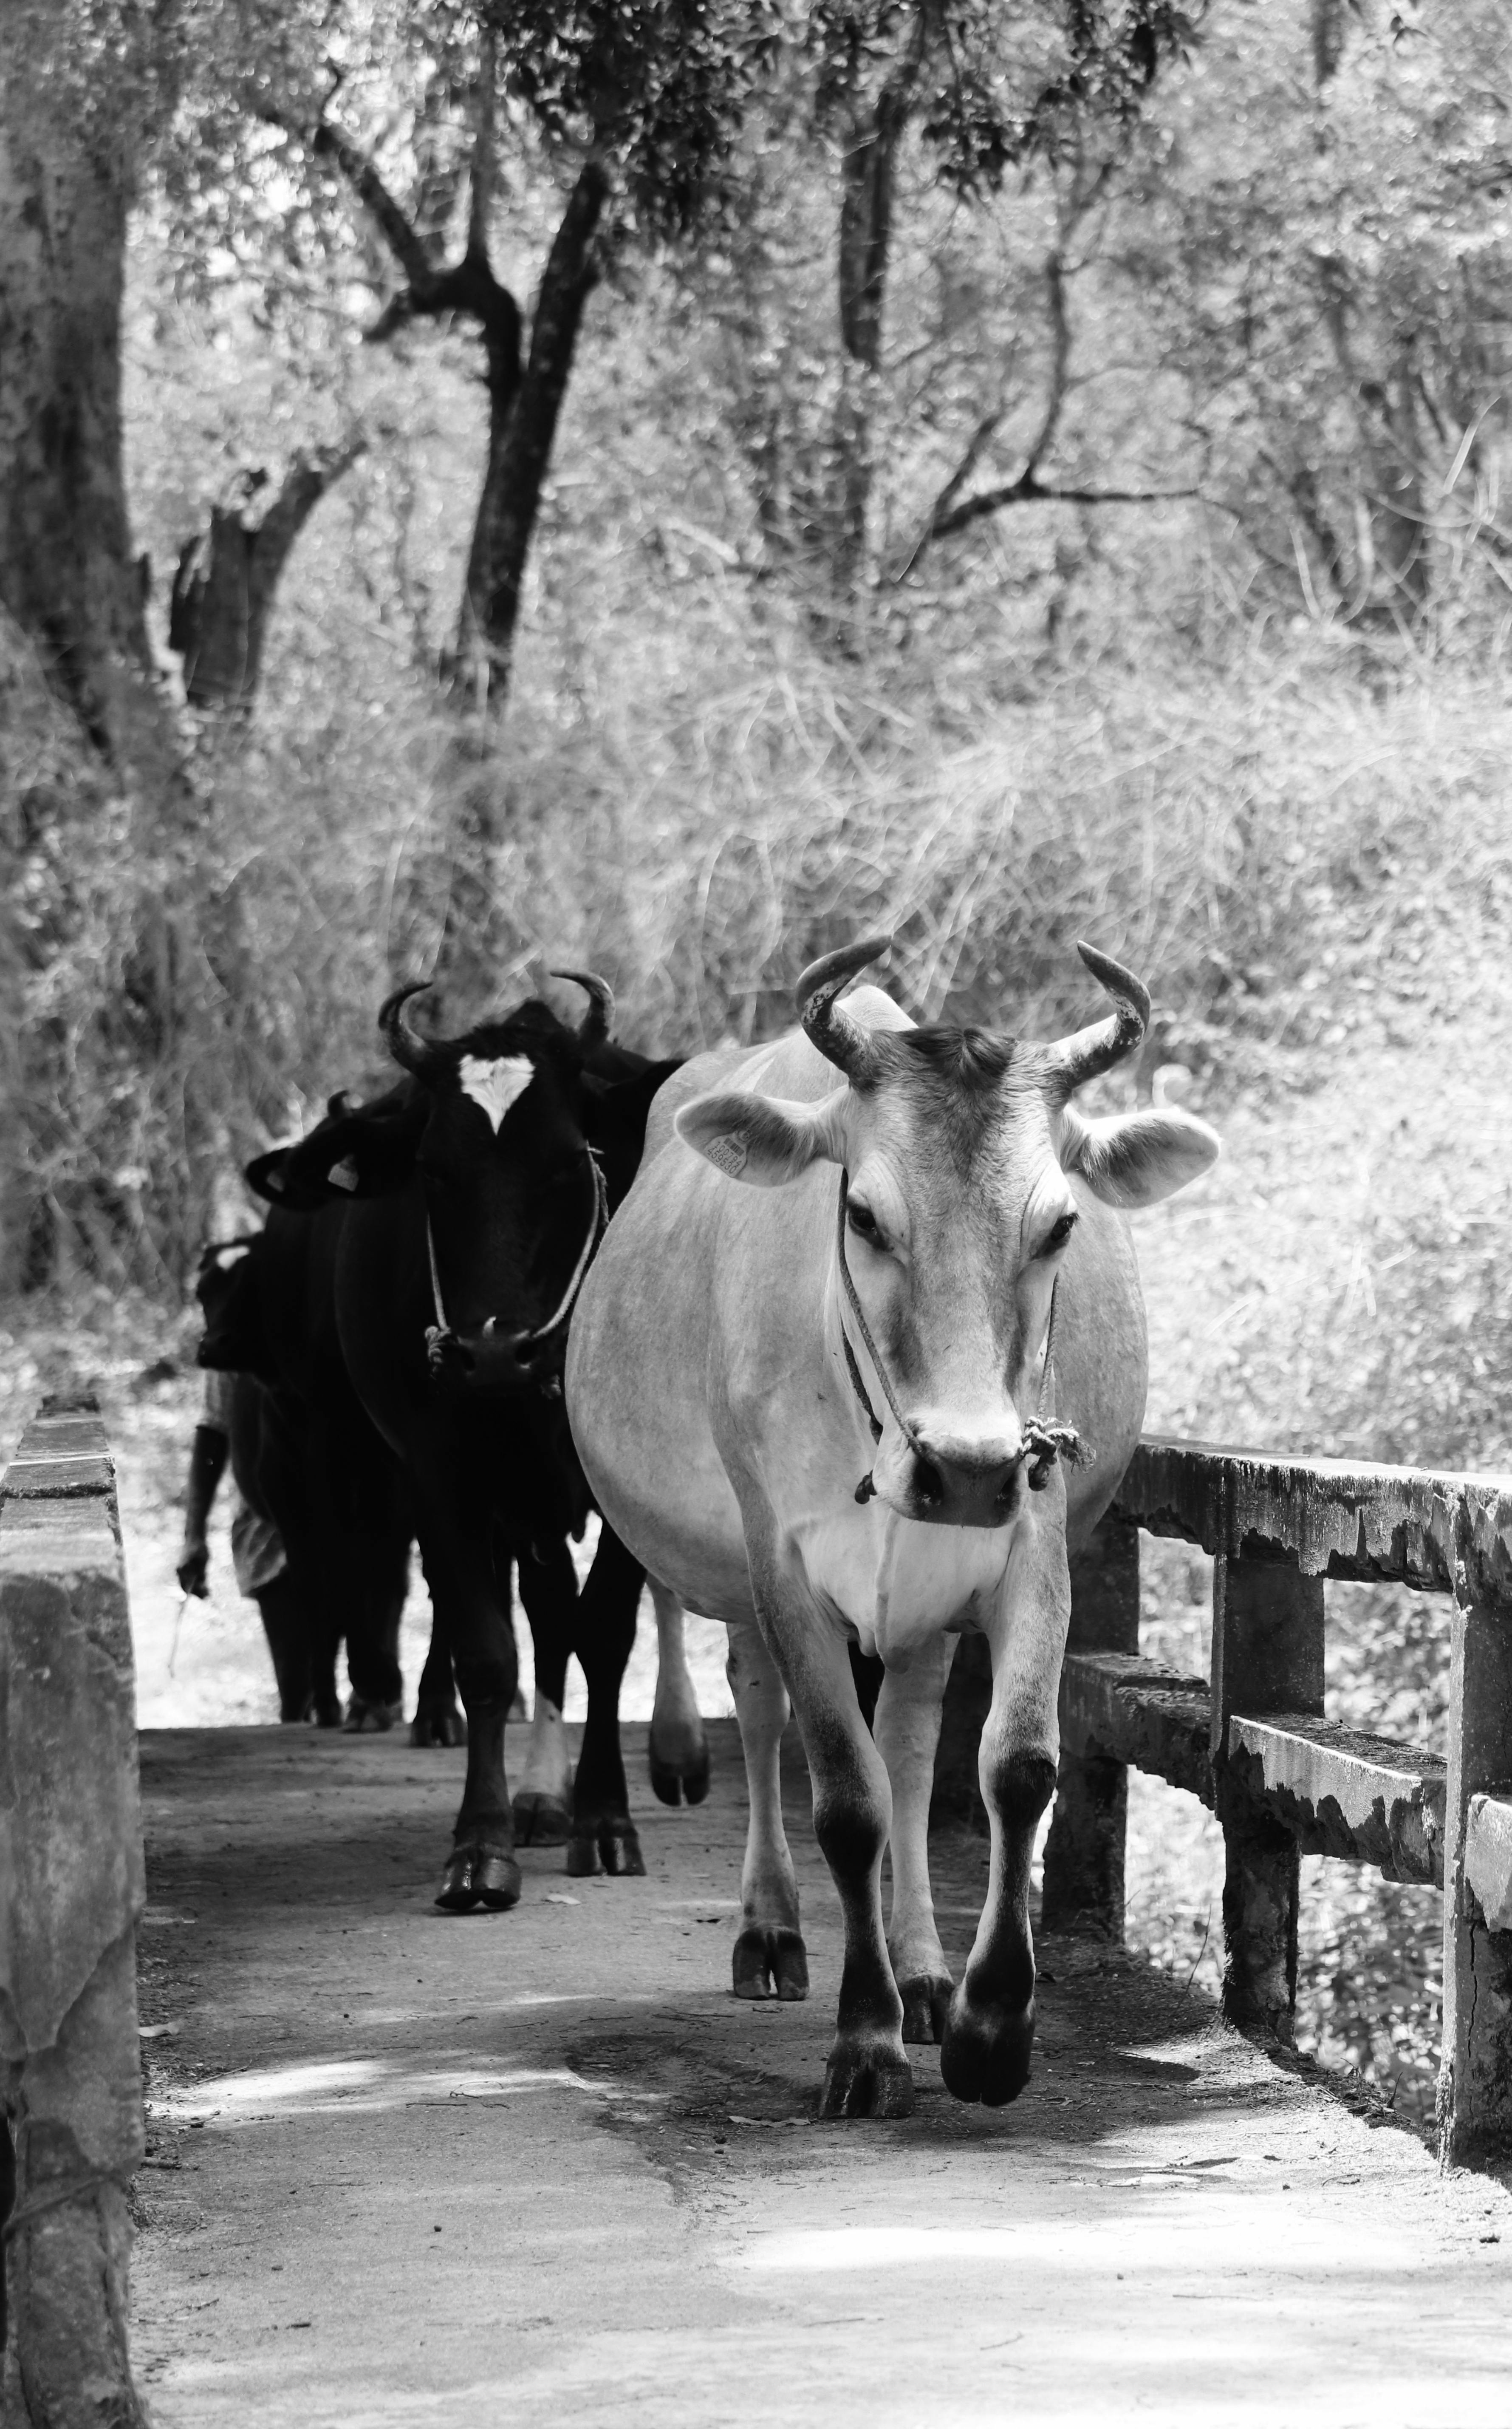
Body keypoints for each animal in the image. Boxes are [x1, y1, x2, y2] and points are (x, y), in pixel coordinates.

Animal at [247, 975, 709, 1907]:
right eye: (433, 1171)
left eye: (567, 1161)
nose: (494, 1351)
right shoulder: (444, 1475)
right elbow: (494, 1651)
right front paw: (484, 1842)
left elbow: (608, 1631)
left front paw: (608, 1820)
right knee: (546, 1614)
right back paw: (540, 1794)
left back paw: (675, 1748)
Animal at [565, 937, 1219, 2118]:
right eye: (864, 1217)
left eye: (1060, 1223)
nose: (963, 1465)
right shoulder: (782, 1563)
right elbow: (845, 1797)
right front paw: (863, 2039)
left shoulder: (1032, 1544)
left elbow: (1013, 1764)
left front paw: (988, 2025)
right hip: (742, 1579)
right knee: (762, 1712)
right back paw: (772, 1928)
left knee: (913, 1739)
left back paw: (921, 1969)